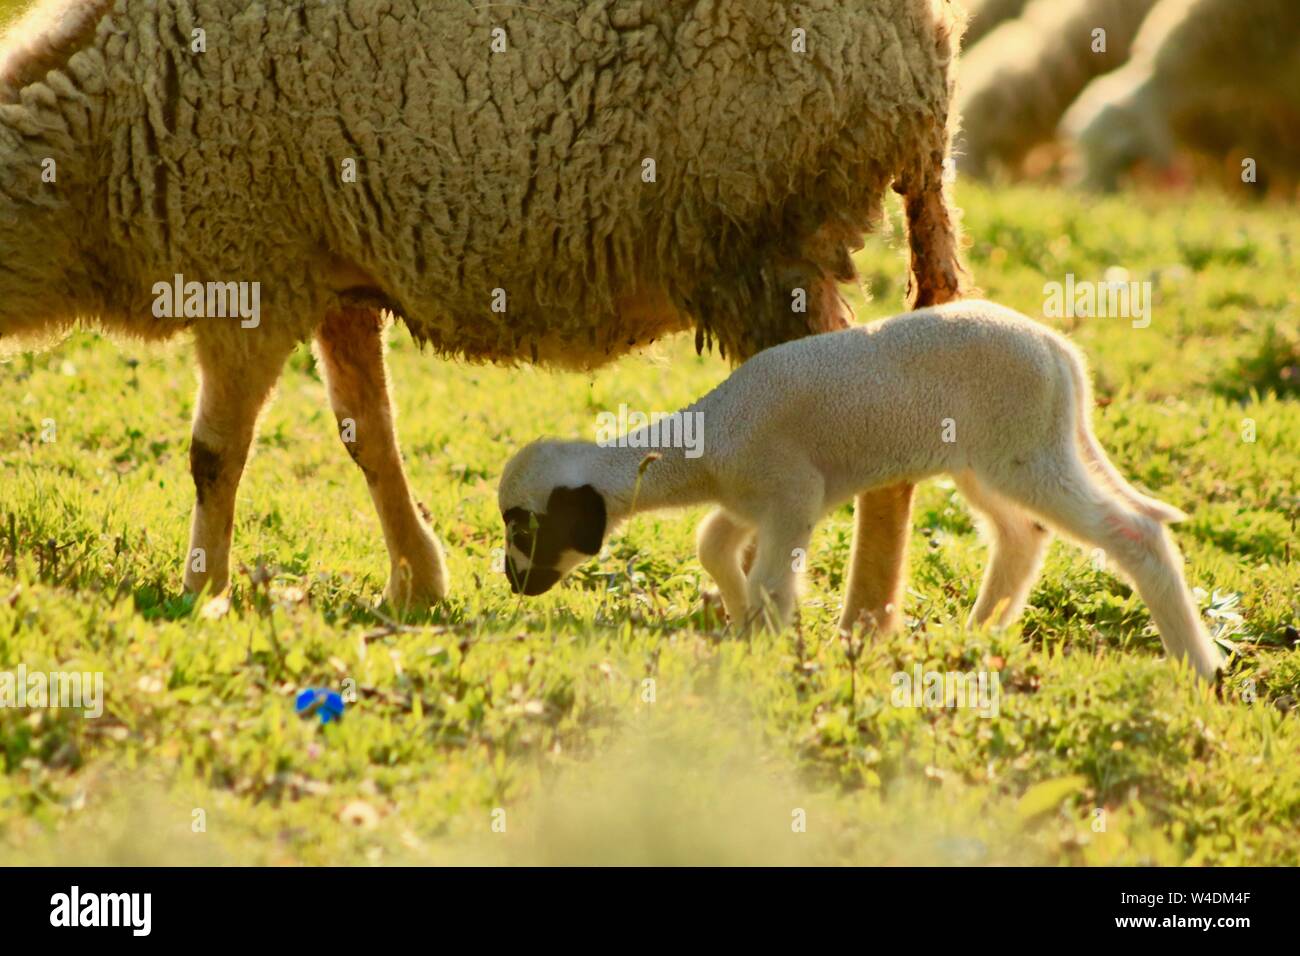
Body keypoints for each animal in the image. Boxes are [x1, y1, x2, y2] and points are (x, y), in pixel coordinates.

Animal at [0, 0, 967, 612]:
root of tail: (927, 48)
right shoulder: (336, 277)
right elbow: (368, 437)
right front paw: (416, 582)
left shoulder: (252, 270)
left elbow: (214, 456)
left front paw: (201, 589)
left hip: (760, 245)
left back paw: (858, 618)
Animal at [497, 299, 1224, 682]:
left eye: (526, 525)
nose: (514, 583)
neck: (708, 441)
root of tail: (1059, 352)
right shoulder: (754, 501)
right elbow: (713, 545)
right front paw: (741, 621)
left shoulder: (792, 492)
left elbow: (770, 579)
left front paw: (767, 648)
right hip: (988, 460)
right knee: (1021, 536)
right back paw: (976, 636)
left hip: (1026, 450)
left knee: (1133, 530)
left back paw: (1198, 666)